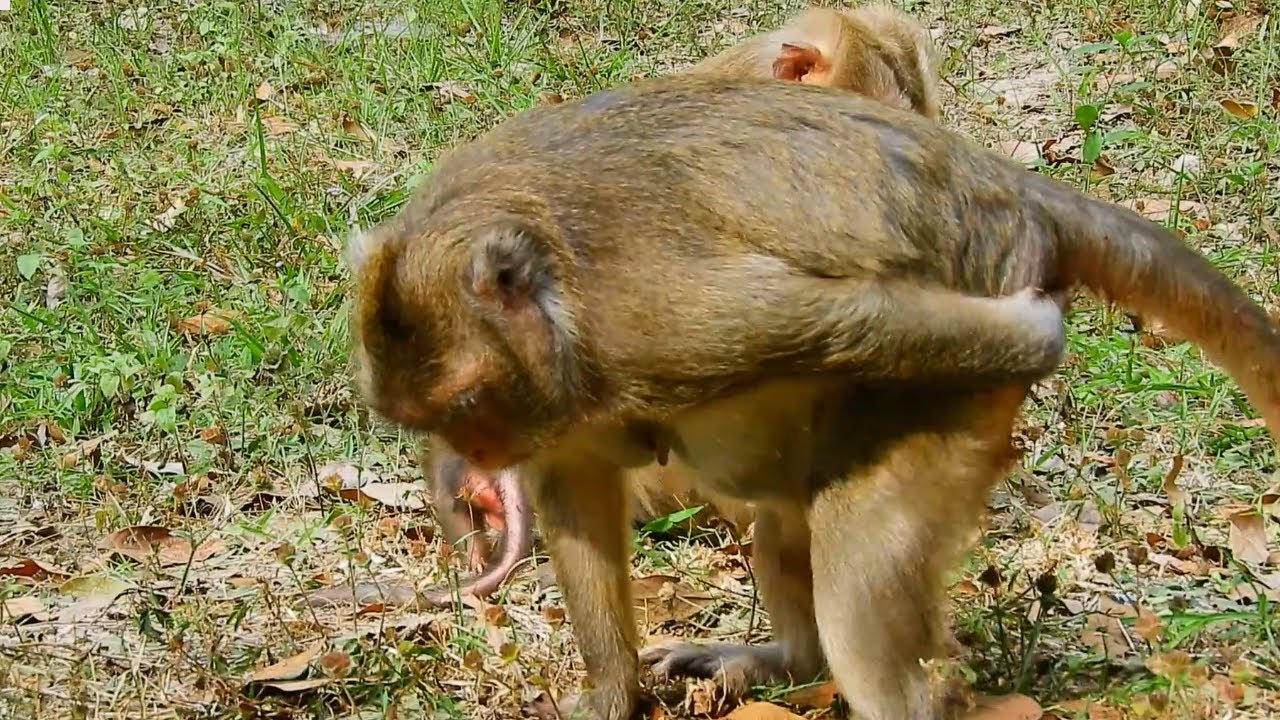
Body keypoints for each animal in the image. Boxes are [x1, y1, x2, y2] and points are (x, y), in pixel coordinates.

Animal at [343, 74, 1280, 719]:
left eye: (468, 405)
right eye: (429, 418)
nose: (479, 456)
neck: (556, 294)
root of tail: (1010, 189)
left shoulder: (659, 317)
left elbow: (835, 317)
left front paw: (1036, 334)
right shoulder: (567, 391)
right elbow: (577, 492)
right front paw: (610, 692)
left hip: (946, 396)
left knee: (858, 578)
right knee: (784, 527)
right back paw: (788, 662)